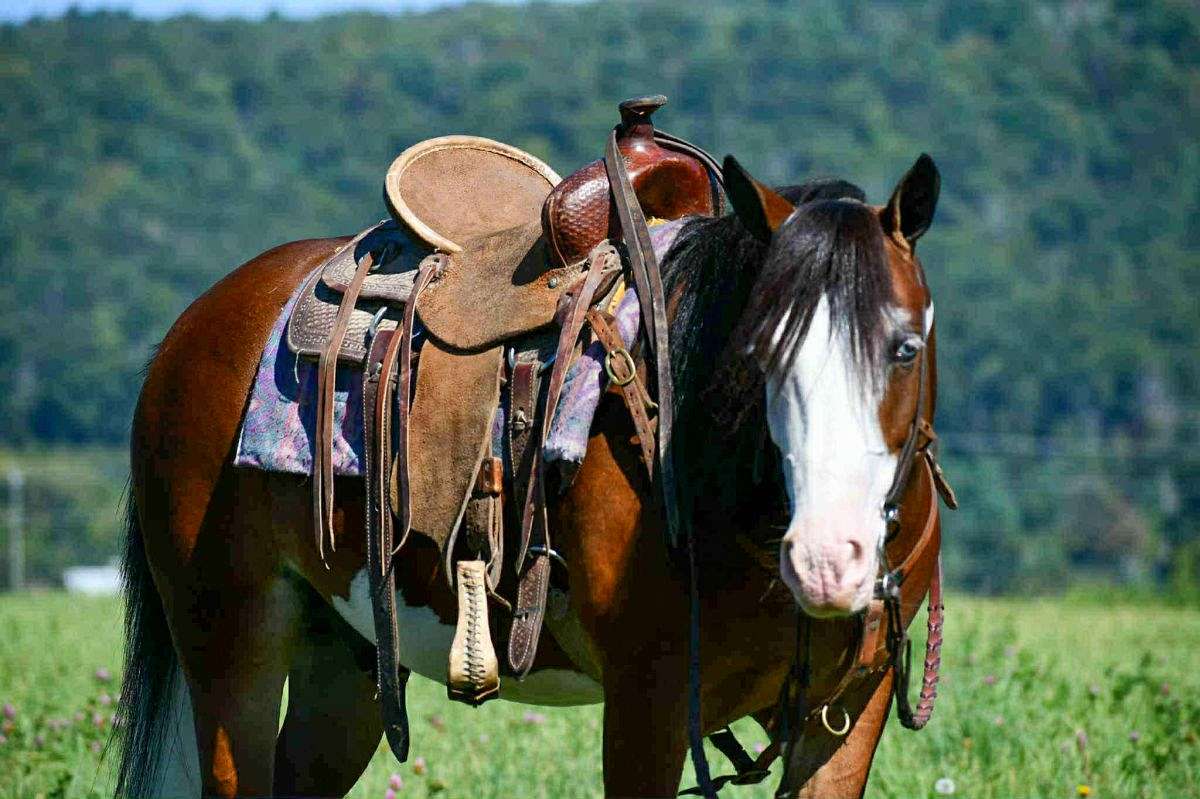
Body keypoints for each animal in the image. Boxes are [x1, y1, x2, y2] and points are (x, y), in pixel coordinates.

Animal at [114, 152, 947, 798]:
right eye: (758, 350)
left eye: (904, 347)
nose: (826, 560)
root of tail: (189, 330)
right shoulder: (647, 701)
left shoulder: (847, 714)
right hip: (230, 645)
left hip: (342, 661)